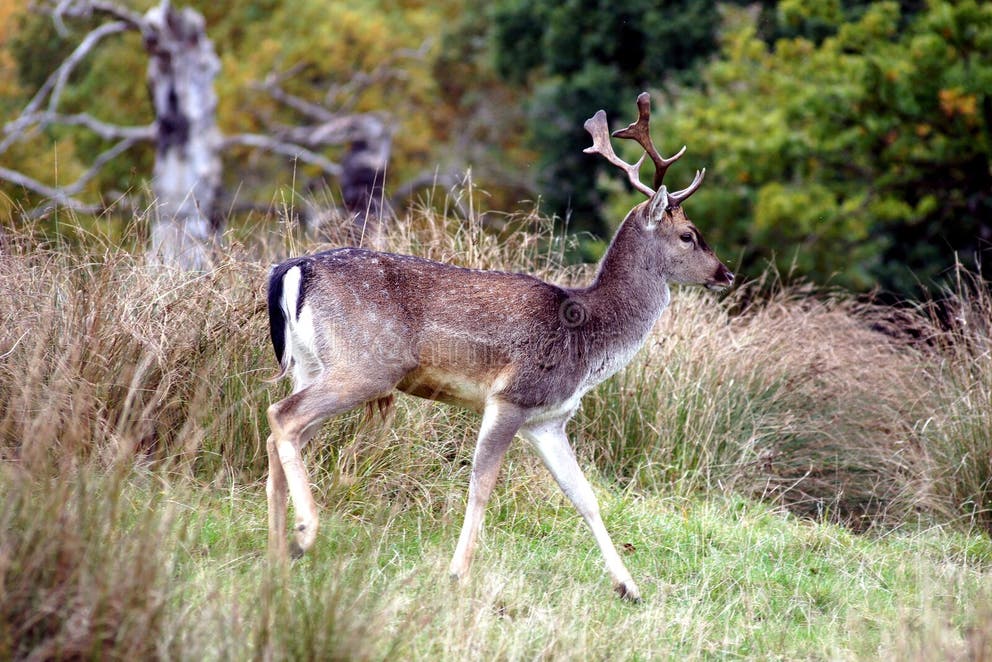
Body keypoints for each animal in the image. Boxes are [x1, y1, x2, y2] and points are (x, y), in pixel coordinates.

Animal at [264, 92, 733, 601]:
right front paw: (457, 573)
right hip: (365, 366)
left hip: (311, 364)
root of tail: (293, 268)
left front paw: (628, 586)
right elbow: (481, 485)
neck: (588, 341)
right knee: (281, 416)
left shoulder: (548, 419)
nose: (726, 273)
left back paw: (279, 553)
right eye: (688, 235)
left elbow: (585, 496)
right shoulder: (512, 396)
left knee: (282, 431)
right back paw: (305, 533)